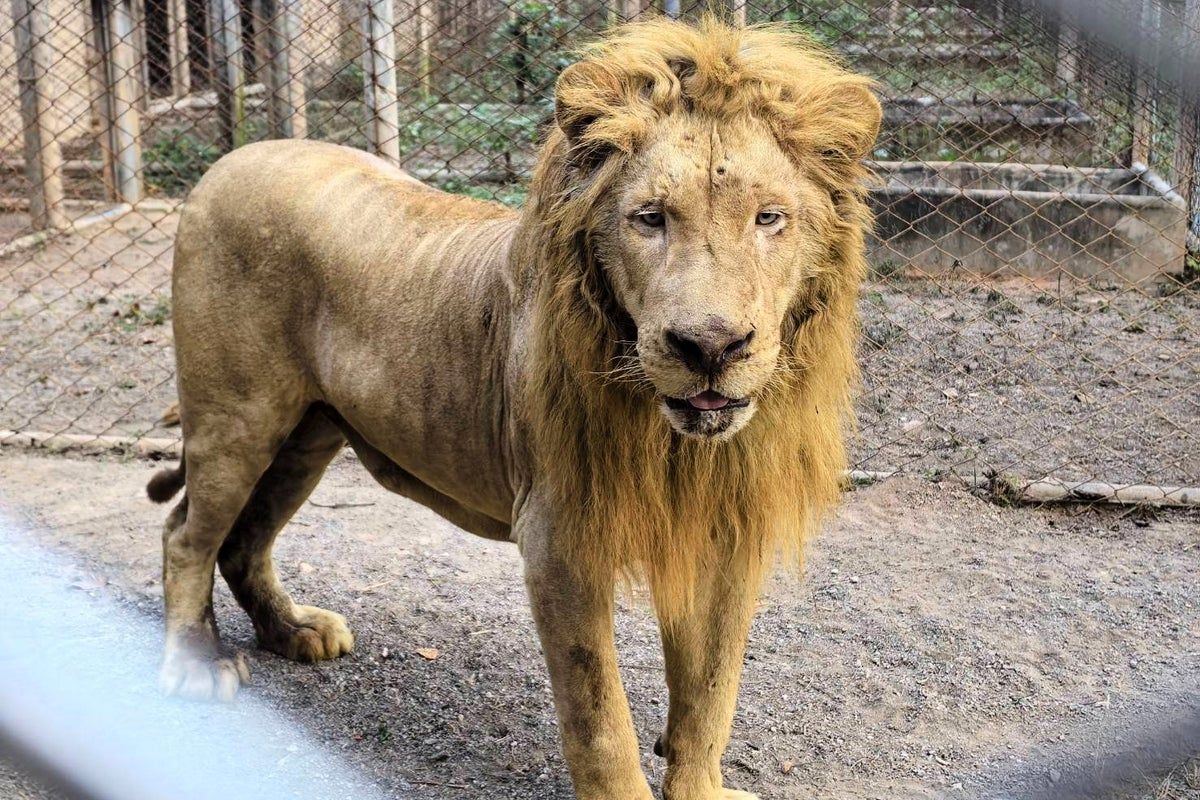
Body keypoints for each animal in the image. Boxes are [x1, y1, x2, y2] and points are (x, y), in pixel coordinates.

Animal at [147, 16, 879, 799]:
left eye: (769, 218)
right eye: (649, 219)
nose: (710, 344)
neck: (676, 443)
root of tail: (233, 157)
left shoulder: (726, 532)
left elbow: (712, 691)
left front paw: (701, 787)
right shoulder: (559, 535)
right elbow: (600, 717)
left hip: (308, 435)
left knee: (245, 539)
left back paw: (294, 632)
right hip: (237, 416)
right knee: (186, 535)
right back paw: (198, 664)